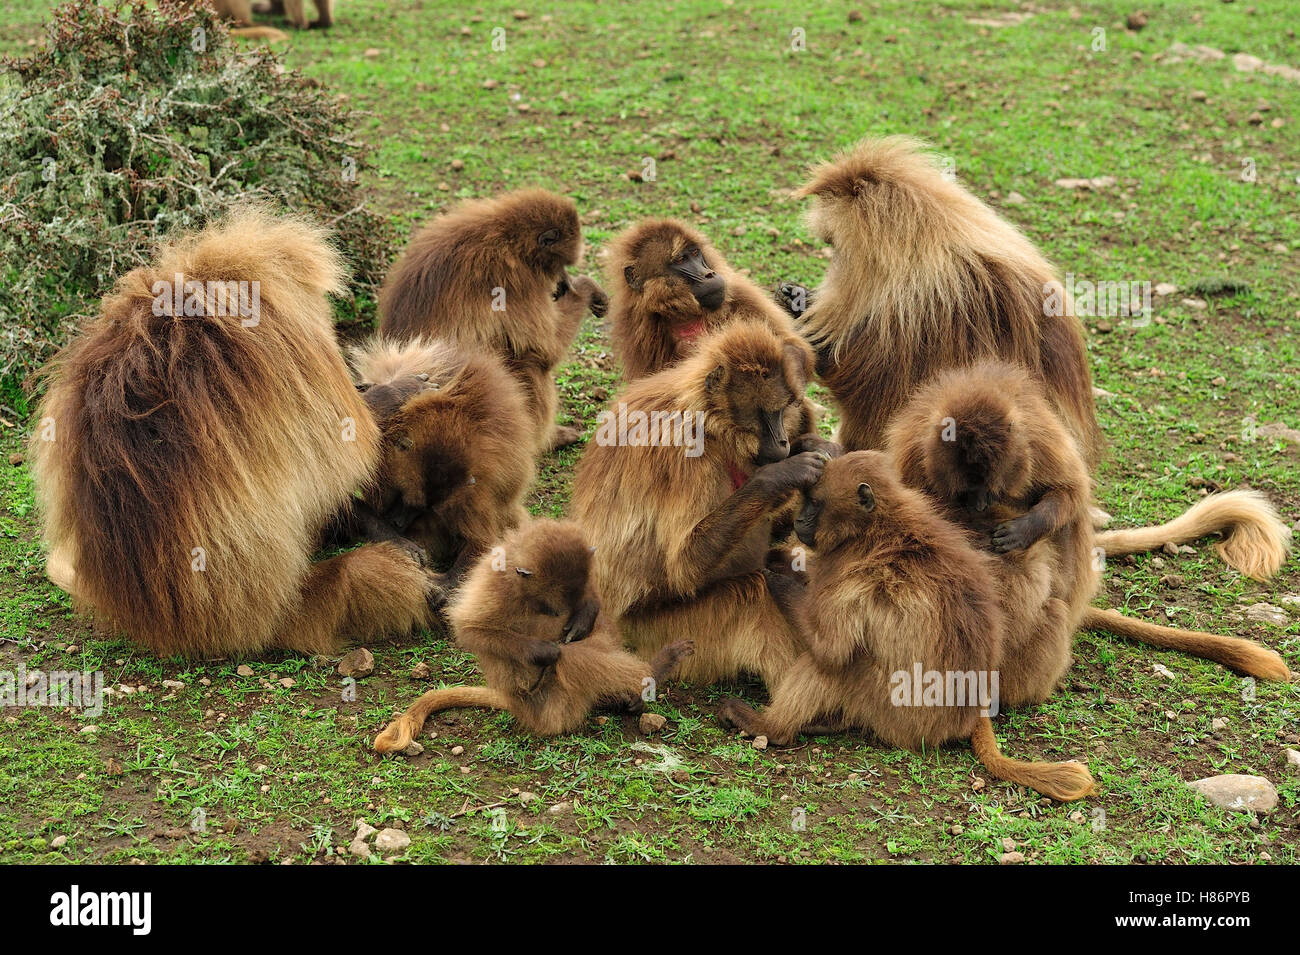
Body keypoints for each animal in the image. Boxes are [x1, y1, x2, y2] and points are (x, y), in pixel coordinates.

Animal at [373, 520, 695, 749]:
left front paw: (584, 613)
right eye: (548, 604)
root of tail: (517, 706)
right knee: (571, 659)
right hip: (545, 701)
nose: (561, 611)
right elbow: (472, 630)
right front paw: (544, 651)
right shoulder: (494, 587)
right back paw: (657, 667)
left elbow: (591, 603)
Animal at [377, 190, 608, 452]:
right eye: (560, 264)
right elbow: (547, 350)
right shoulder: (517, 282)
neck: (508, 238)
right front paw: (586, 287)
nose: (562, 283)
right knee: (530, 363)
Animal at [571, 321, 829, 690]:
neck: (704, 420)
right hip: (659, 629)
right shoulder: (686, 457)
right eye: (766, 415)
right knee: (753, 595)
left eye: (783, 411)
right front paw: (780, 476)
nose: (783, 441)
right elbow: (684, 564)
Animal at [717, 451, 1097, 803]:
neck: (878, 522)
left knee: (835, 664)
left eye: (815, 502)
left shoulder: (849, 573)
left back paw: (771, 727)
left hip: (895, 713)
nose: (799, 519)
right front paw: (781, 559)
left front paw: (775, 576)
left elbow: (830, 647)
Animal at [884, 361, 1291, 684]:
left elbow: (1070, 490)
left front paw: (1023, 530)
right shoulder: (914, 454)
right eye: (966, 491)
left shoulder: (1037, 438)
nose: (982, 504)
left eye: (989, 487)